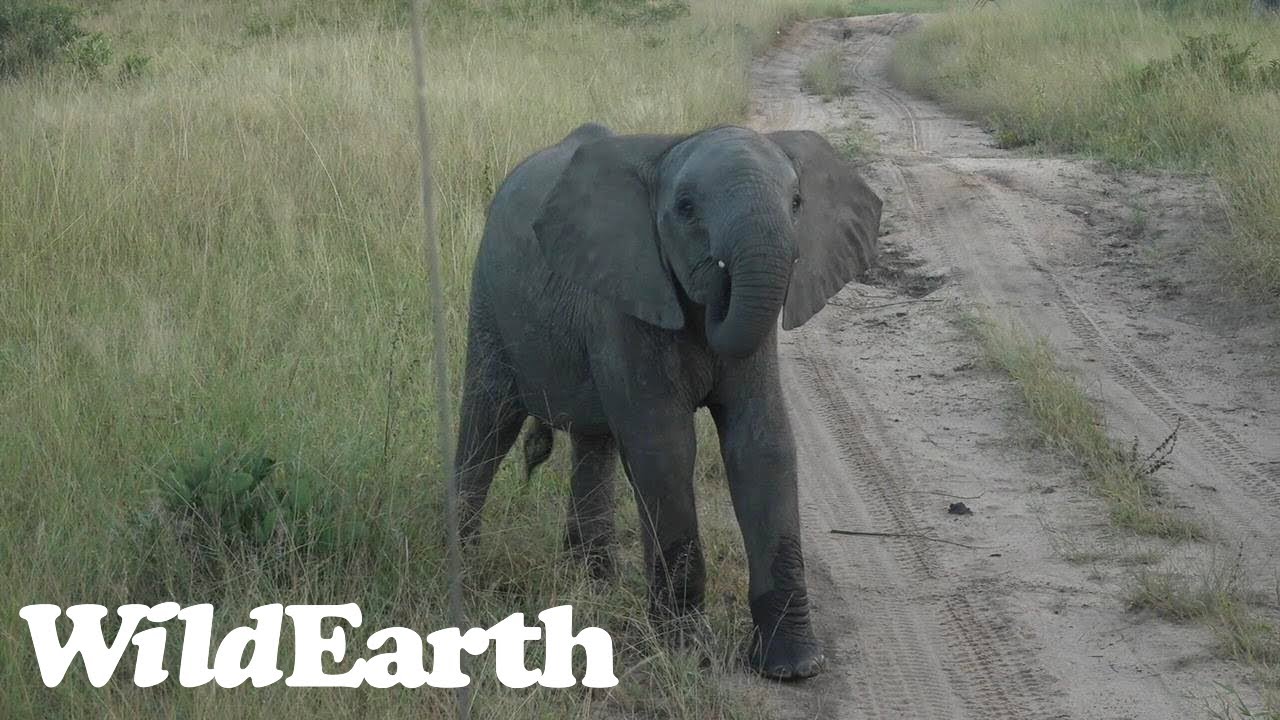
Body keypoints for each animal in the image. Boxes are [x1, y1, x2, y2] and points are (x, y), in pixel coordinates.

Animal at [453, 121, 882, 679]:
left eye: (796, 202)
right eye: (685, 208)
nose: (717, 281)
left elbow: (762, 442)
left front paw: (794, 667)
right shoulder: (627, 297)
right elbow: (665, 449)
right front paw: (687, 654)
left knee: (594, 441)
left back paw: (594, 582)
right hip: (490, 300)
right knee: (489, 423)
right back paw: (460, 565)